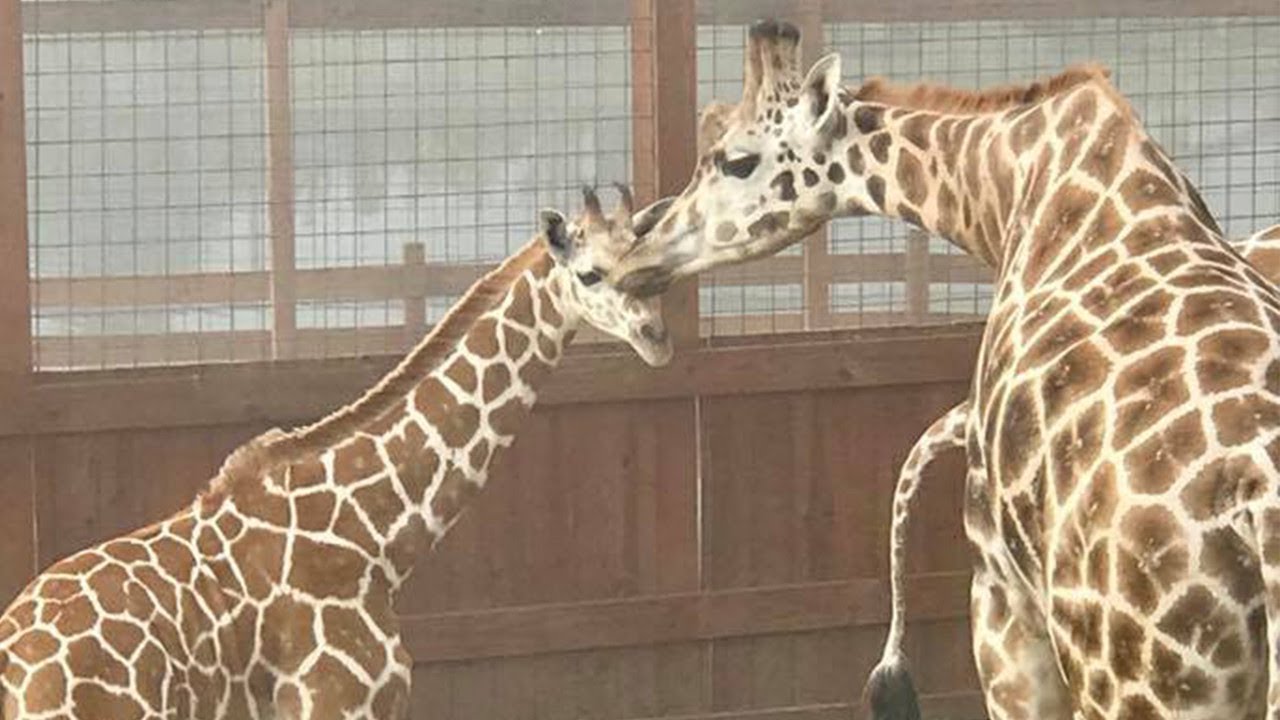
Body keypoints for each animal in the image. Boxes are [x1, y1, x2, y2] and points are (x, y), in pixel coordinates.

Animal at [0, 188, 673, 720]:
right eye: (589, 275)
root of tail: (15, 679)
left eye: (655, 267)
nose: (656, 336)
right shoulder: (339, 702)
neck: (376, 536)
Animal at [603, 18, 1280, 720]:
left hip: (1133, 682)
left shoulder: (999, 587)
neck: (1010, 187)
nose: (634, 256)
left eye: (735, 159)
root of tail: (1258, 505)